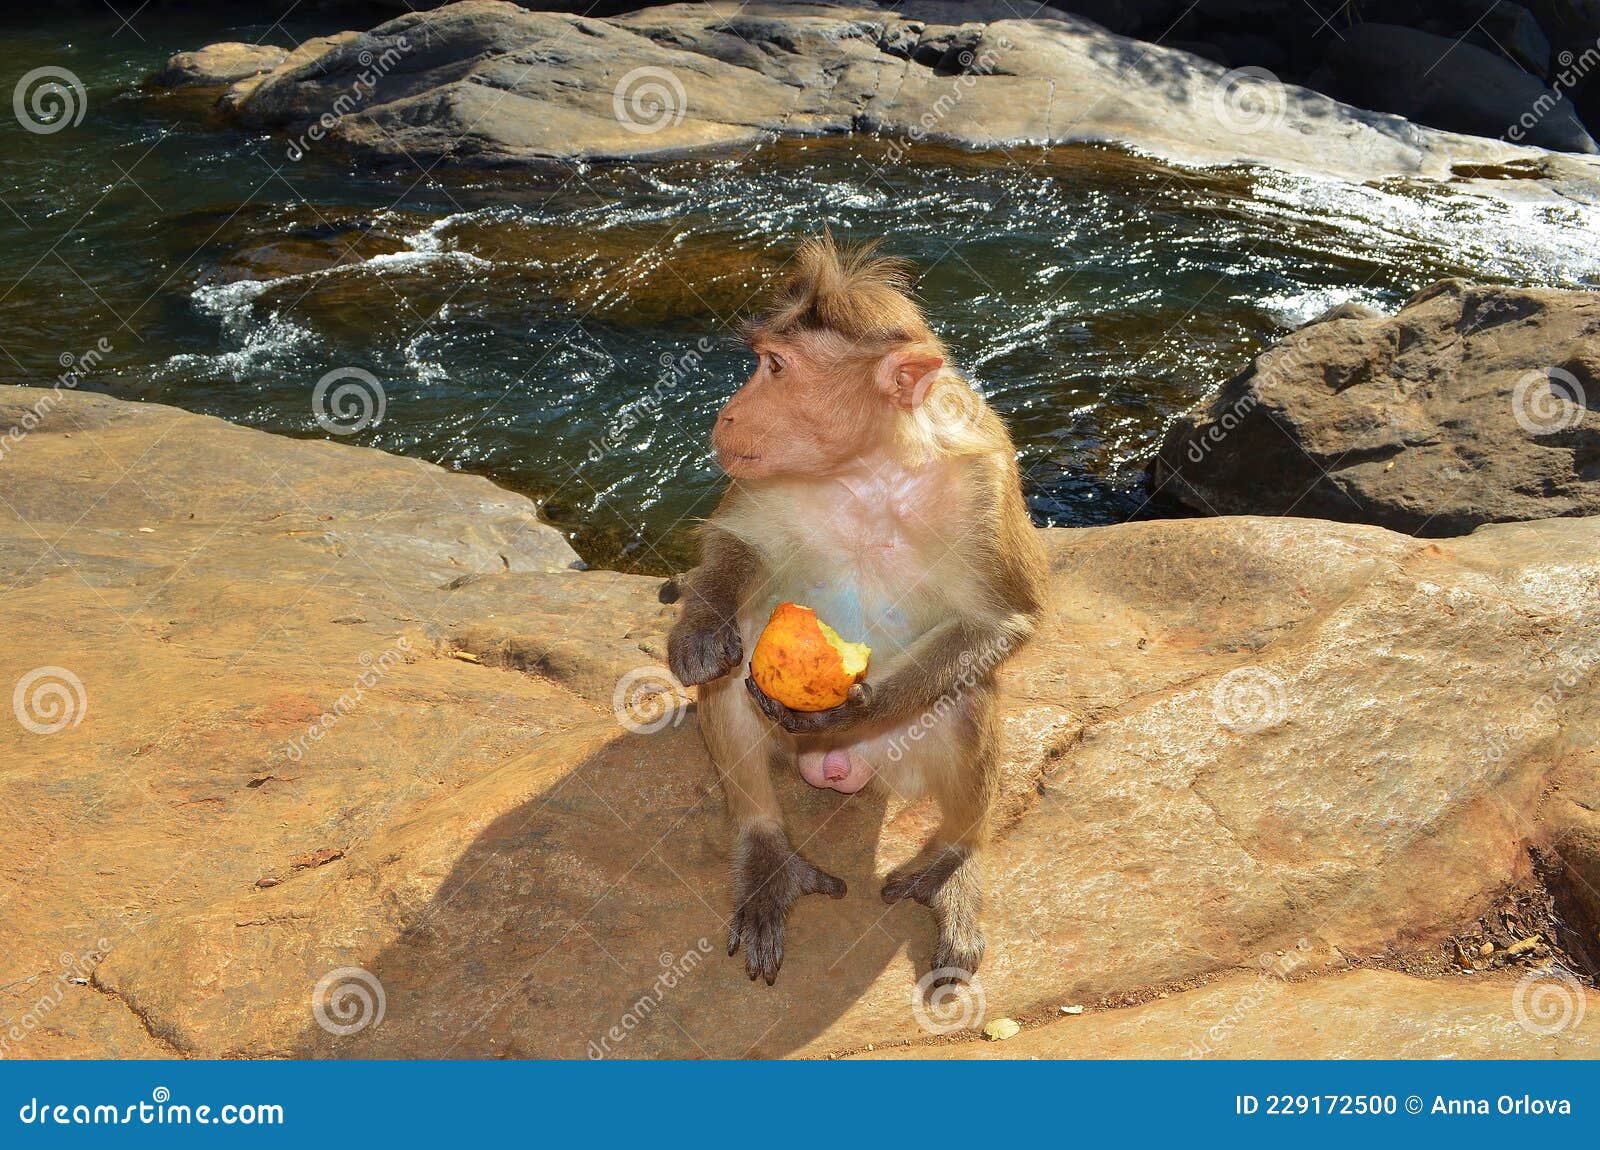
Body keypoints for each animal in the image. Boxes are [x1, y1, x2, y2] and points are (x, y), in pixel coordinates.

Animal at [666, 235, 1048, 987]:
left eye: (776, 368)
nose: (728, 412)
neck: (868, 468)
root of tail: (846, 770)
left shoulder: (984, 474)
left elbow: (1003, 621)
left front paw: (855, 705)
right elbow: (738, 546)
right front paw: (701, 625)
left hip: (907, 758)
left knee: (965, 694)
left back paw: (953, 861)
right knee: (733, 671)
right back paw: (765, 853)